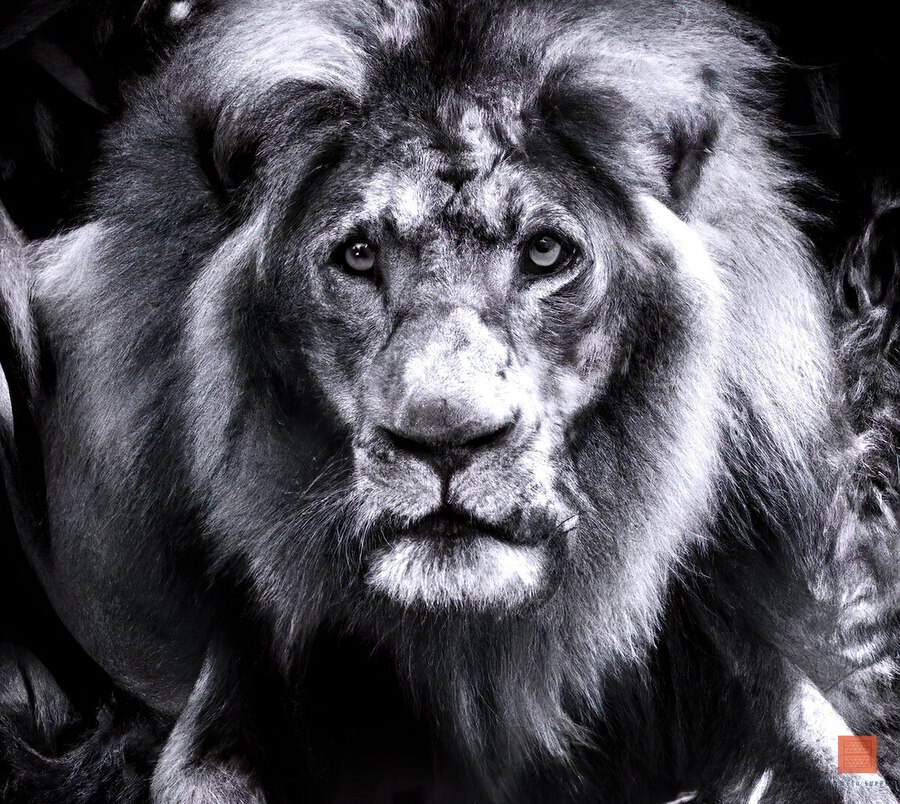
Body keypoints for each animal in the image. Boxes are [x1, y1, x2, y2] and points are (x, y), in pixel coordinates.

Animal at [1, 0, 898, 801]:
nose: (445, 441)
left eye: (546, 253)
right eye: (359, 255)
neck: (481, 659)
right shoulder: (241, 695)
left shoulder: (738, 661)